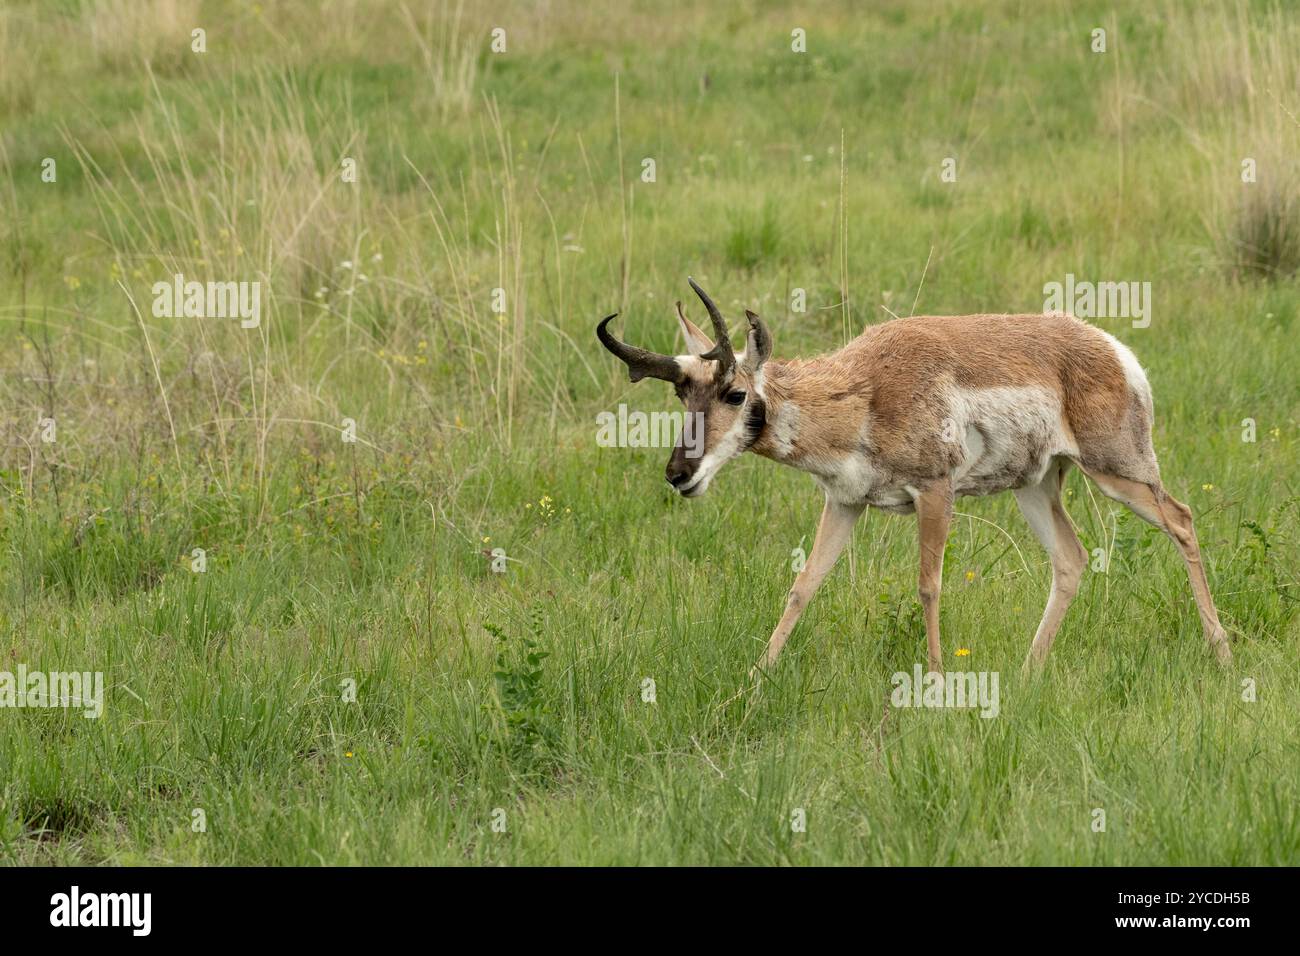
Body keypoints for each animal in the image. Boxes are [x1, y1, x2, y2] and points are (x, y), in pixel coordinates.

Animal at [597, 278, 1233, 677]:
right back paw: (1028, 672)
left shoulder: (934, 493)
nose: (678, 474)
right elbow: (804, 585)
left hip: (1117, 472)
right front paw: (755, 679)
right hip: (1035, 487)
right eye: (682, 394)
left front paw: (934, 677)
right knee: (1072, 559)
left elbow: (928, 585)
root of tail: (1111, 348)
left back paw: (1221, 653)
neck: (864, 388)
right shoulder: (844, 504)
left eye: (734, 393)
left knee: (1181, 519)